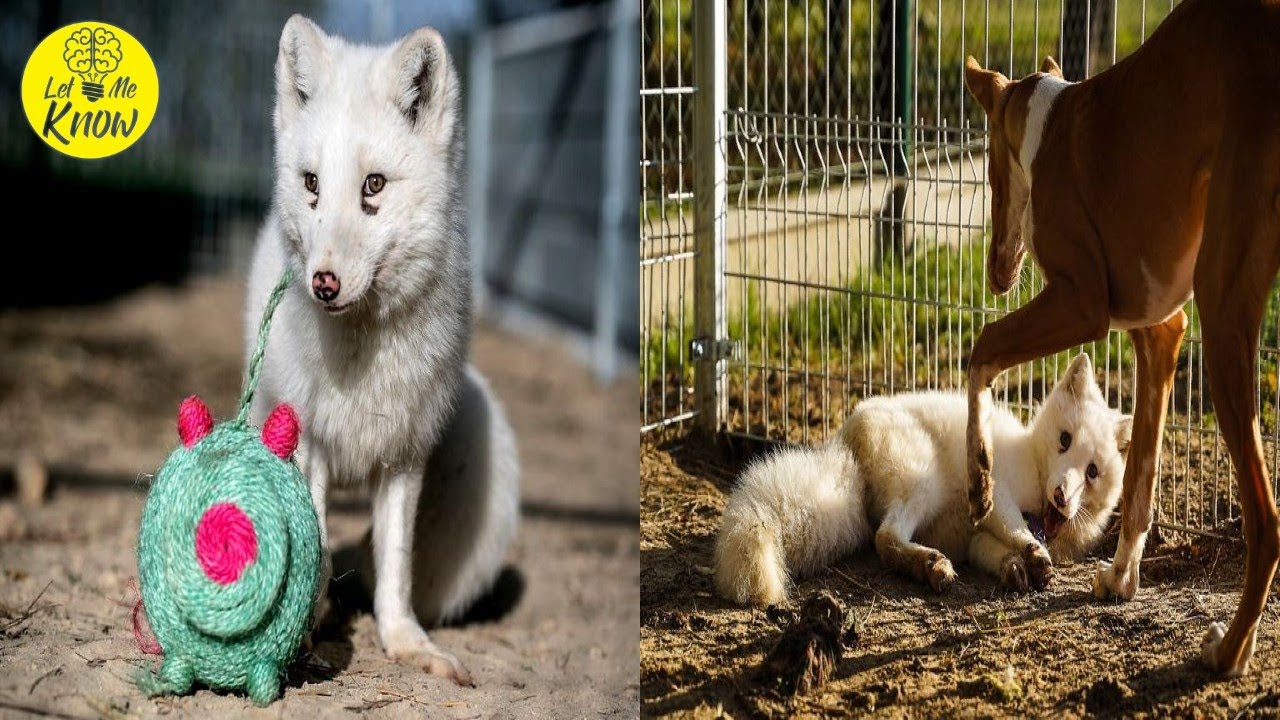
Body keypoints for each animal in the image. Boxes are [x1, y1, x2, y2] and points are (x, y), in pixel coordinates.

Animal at [242, 16, 519, 686]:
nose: (323, 282)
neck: (359, 360)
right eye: (312, 184)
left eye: (373, 185)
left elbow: (394, 570)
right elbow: (314, 547)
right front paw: (303, 632)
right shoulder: (308, 442)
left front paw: (406, 644)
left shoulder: (404, 455)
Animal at [715, 353, 1130, 606]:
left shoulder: (976, 537)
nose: (1061, 496)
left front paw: (1017, 568)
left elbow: (994, 549)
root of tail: (846, 439)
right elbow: (1017, 529)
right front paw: (1031, 553)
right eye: (1064, 440)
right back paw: (932, 564)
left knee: (885, 538)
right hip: (925, 483)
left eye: (1092, 471)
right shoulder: (993, 493)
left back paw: (930, 566)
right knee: (884, 538)